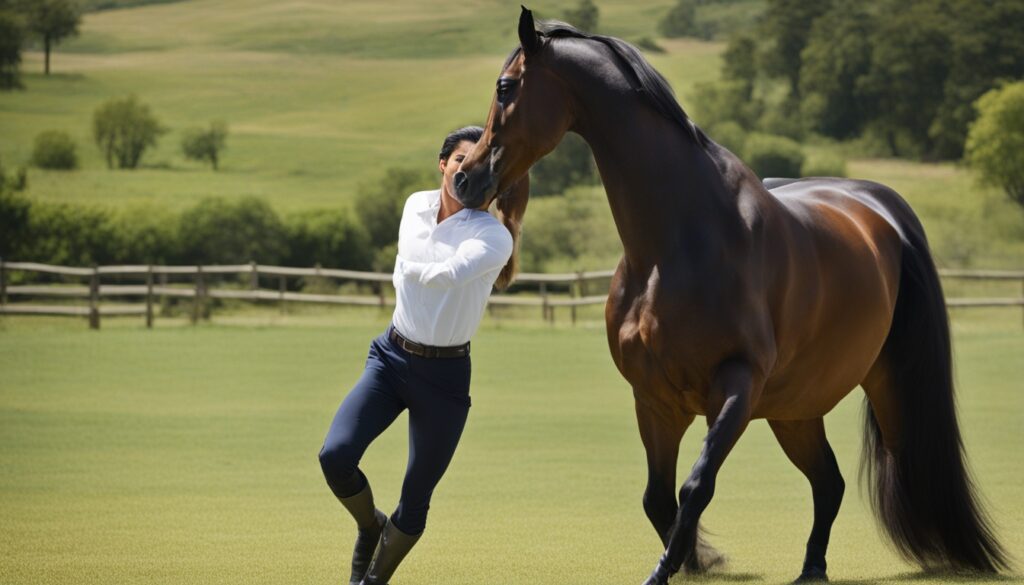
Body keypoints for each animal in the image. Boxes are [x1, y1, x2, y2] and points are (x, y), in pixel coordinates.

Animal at [454, 5, 1007, 585]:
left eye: (506, 87)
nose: (467, 178)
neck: (678, 242)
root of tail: (880, 206)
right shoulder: (654, 399)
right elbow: (658, 498)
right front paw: (693, 562)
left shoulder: (738, 386)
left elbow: (696, 486)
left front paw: (670, 568)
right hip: (795, 410)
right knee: (828, 482)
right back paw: (811, 568)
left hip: (887, 386)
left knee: (912, 467)